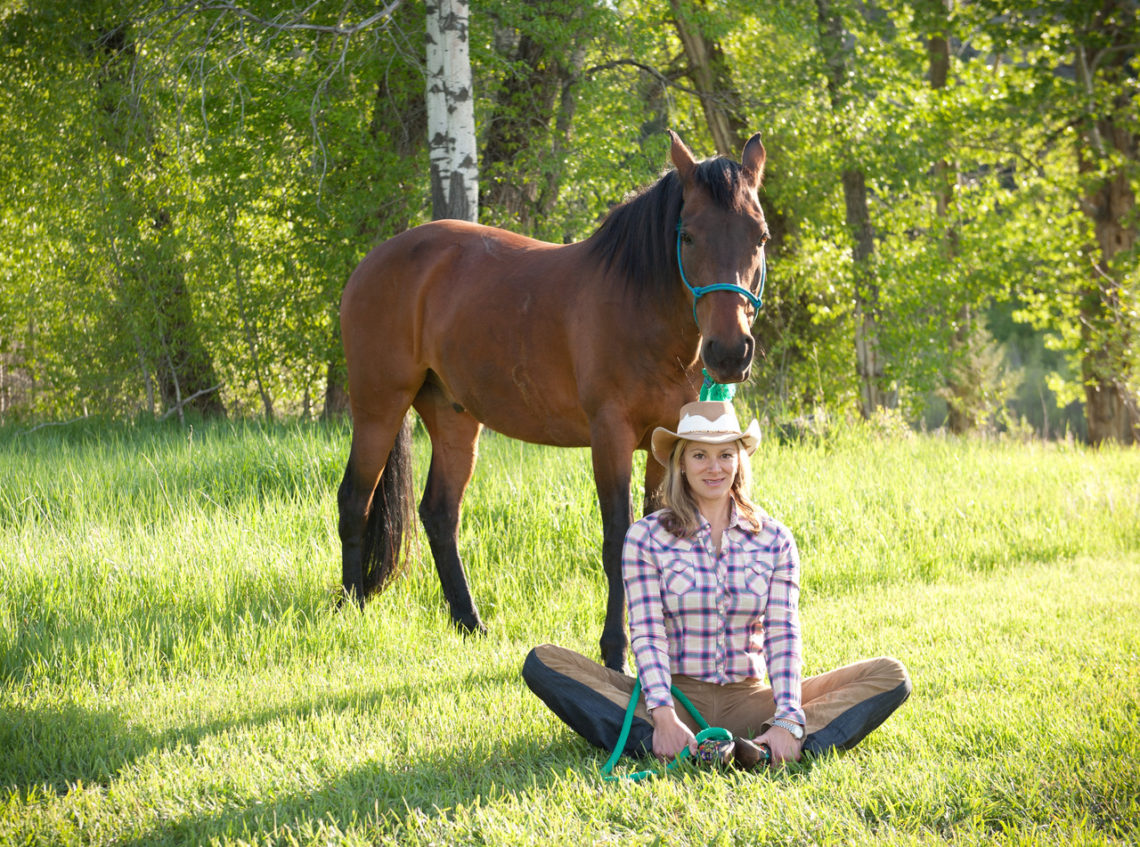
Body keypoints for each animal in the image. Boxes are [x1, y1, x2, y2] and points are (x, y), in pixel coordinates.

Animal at [337, 130, 770, 670]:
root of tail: (373, 260)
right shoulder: (610, 437)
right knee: (355, 498)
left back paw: (468, 621)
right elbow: (617, 539)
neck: (643, 308)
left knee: (440, 513)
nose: (730, 352)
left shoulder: (666, 441)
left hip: (455, 418)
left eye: (760, 236)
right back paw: (351, 606)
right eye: (687, 236)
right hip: (378, 407)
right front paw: (615, 653)